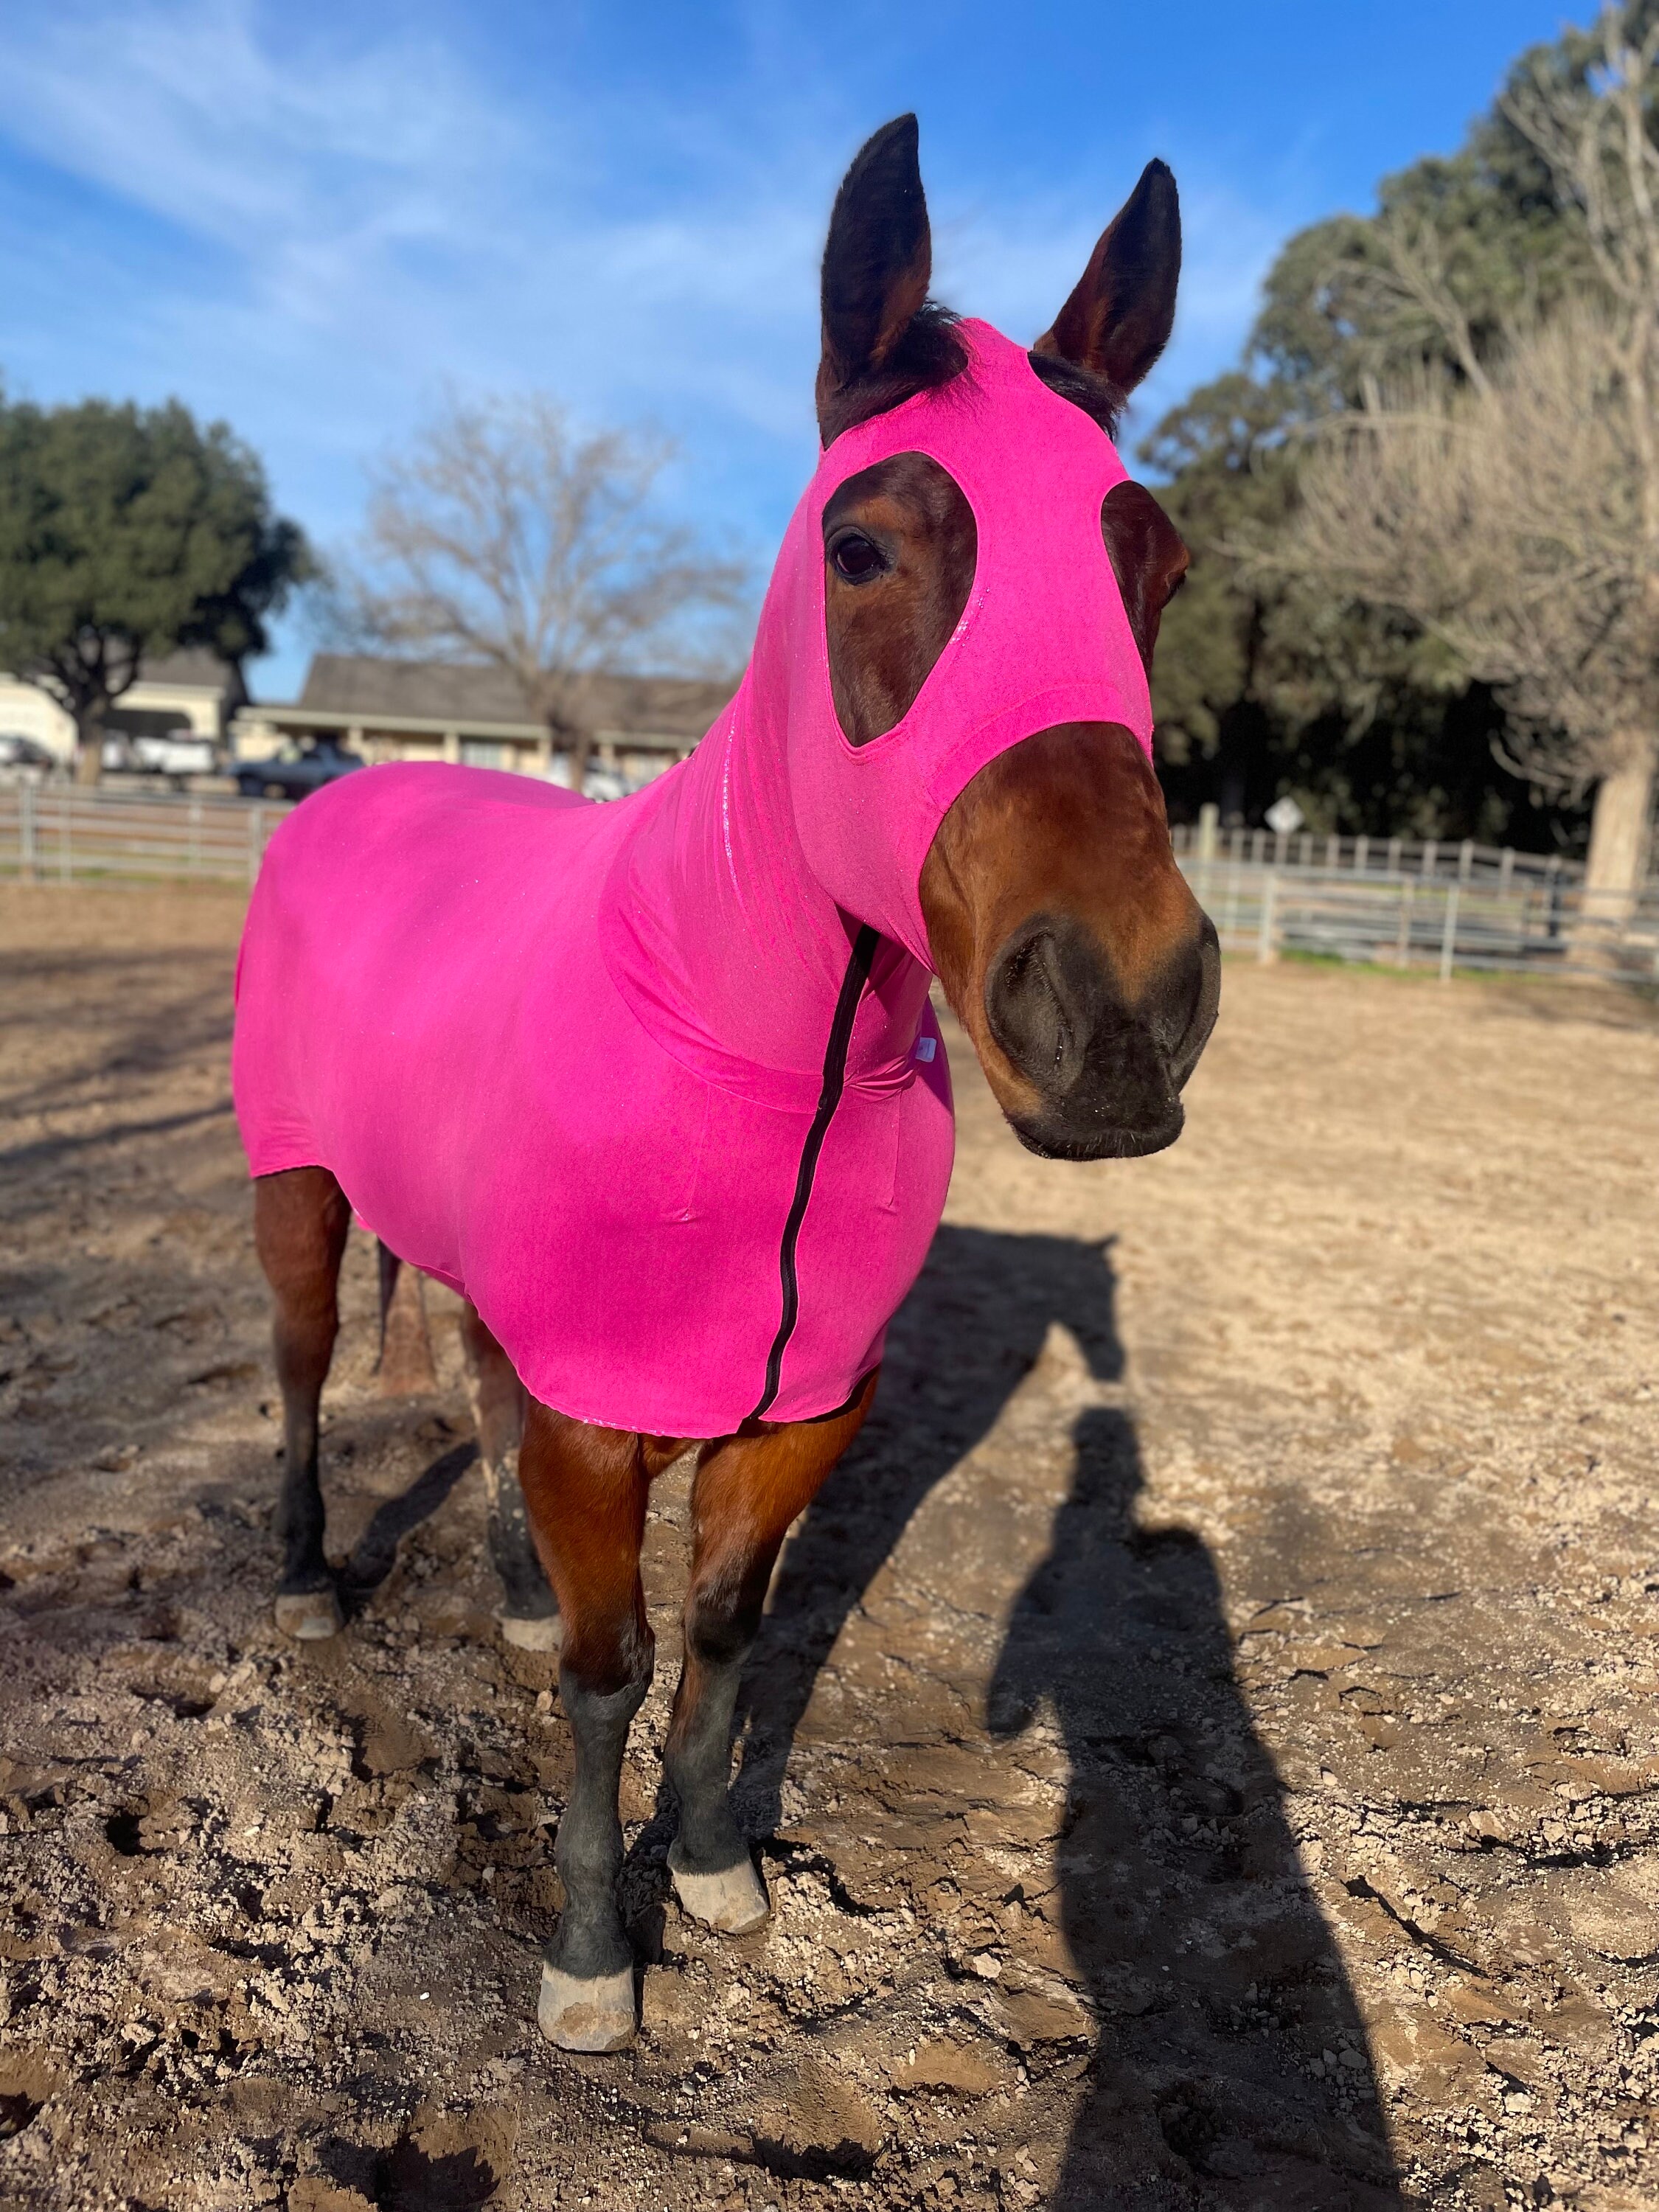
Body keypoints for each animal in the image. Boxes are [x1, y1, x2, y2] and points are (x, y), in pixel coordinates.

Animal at [232, 115, 1219, 2054]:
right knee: (307, 1370)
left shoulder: (800, 1411)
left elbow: (729, 1636)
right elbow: (614, 1675)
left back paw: (507, 1595)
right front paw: (590, 1957)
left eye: (1154, 571)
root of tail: (350, 789)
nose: (1124, 1012)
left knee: (471, 1370)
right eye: (862, 545)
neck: (757, 1047)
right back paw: (311, 1579)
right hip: (296, 1185)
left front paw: (708, 1868)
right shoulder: (607, 1418)